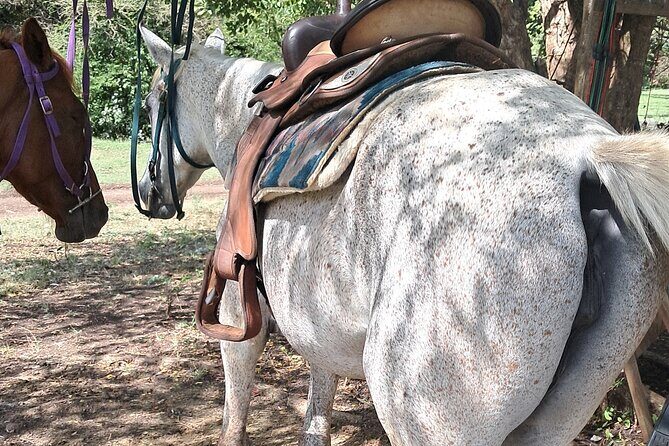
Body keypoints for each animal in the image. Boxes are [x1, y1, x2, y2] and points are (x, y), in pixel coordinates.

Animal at [139, 27, 669, 445]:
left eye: (149, 103)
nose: (149, 191)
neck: (241, 121)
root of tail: (584, 153)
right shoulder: (318, 328)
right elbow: (316, 417)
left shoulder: (238, 312)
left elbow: (236, 412)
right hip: (555, 418)